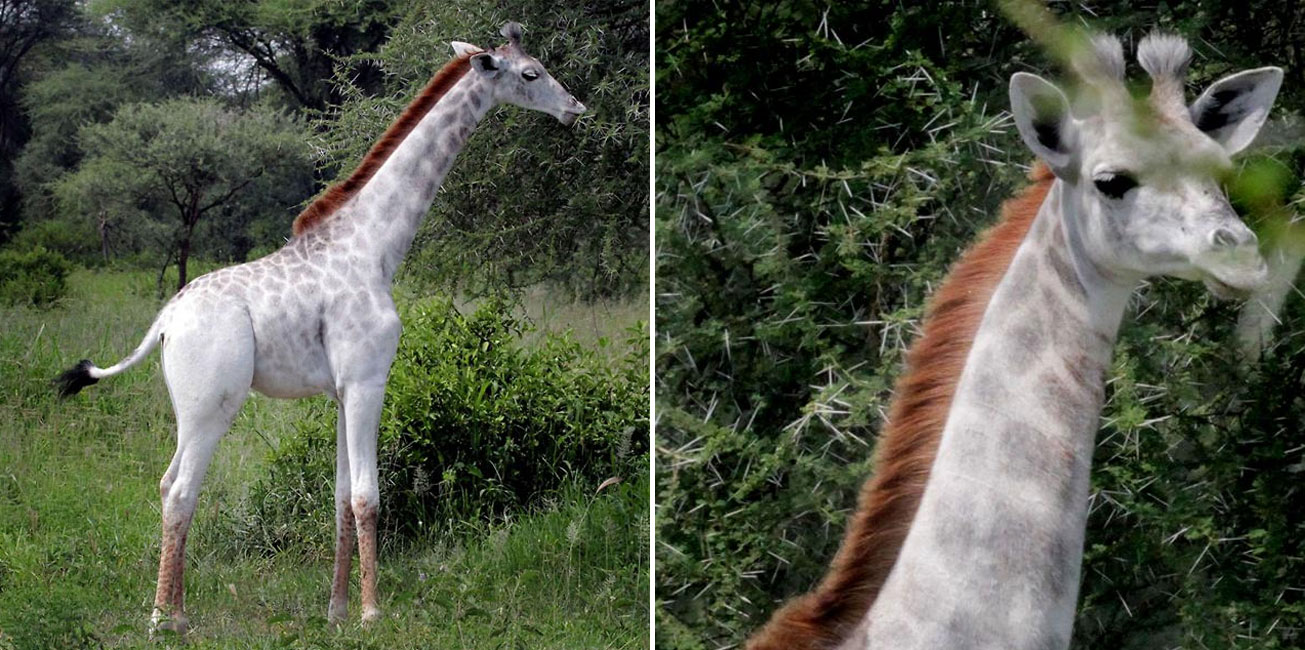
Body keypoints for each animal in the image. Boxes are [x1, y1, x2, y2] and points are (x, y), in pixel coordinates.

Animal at [52, 21, 586, 635]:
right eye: (531, 73)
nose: (575, 109)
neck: (375, 247)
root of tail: (165, 320)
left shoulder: (339, 392)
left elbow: (338, 497)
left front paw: (336, 612)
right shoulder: (367, 380)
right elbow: (368, 496)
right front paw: (373, 614)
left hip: (187, 408)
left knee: (168, 484)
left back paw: (179, 614)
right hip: (213, 403)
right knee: (183, 490)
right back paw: (162, 621)